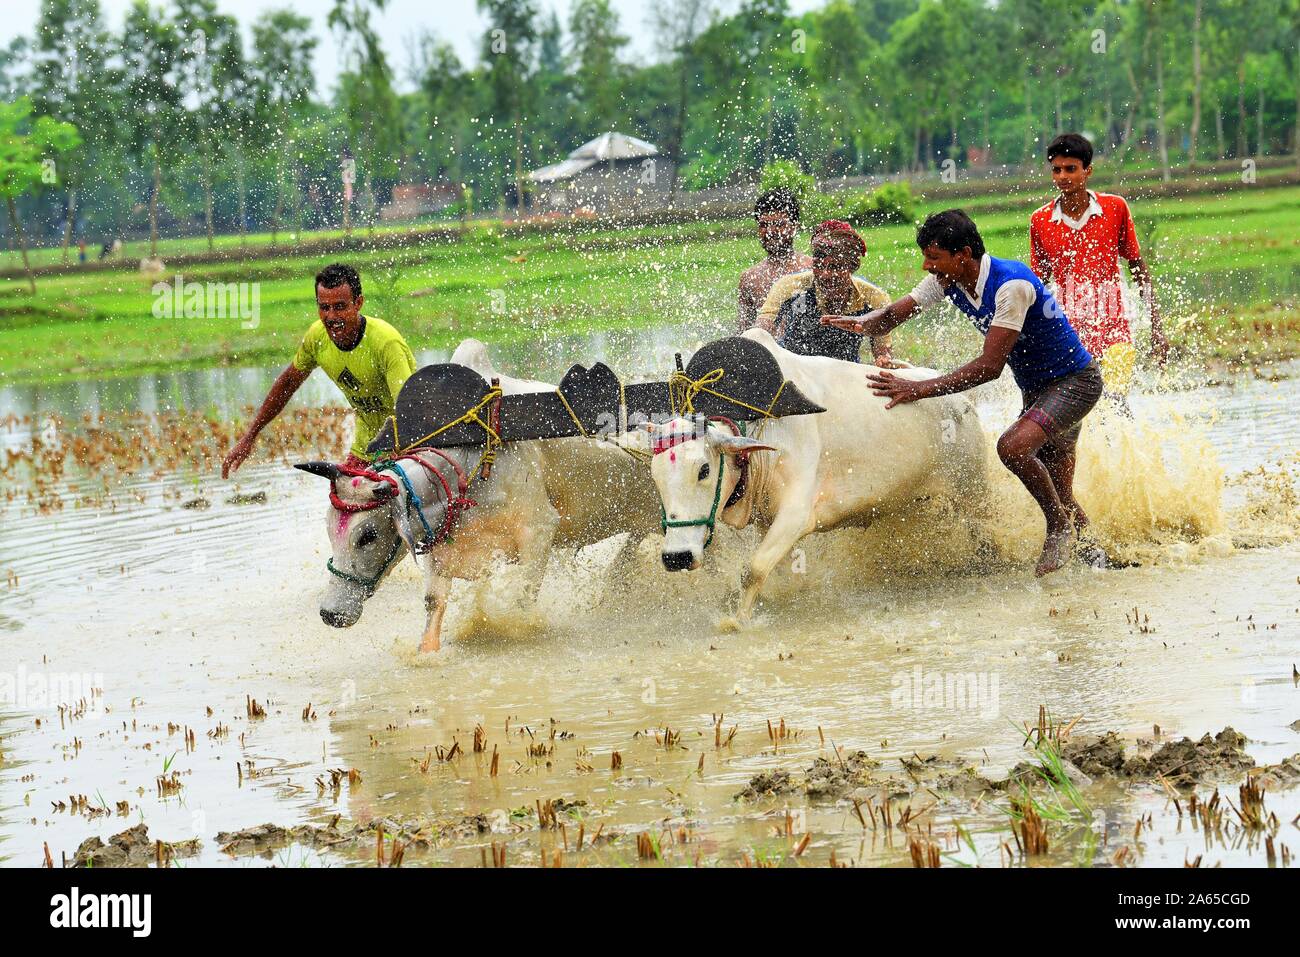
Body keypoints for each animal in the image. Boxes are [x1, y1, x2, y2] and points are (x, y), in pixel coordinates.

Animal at [296, 339, 661, 653]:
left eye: (368, 535)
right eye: (329, 531)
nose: (330, 613)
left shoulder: (539, 530)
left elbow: (521, 602)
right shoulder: (437, 549)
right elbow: (433, 607)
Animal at [613, 328, 988, 624]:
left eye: (703, 469)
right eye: (655, 475)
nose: (677, 557)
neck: (763, 428)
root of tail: (963, 398)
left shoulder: (797, 513)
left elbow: (754, 569)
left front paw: (737, 621)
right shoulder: (768, 519)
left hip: (974, 494)